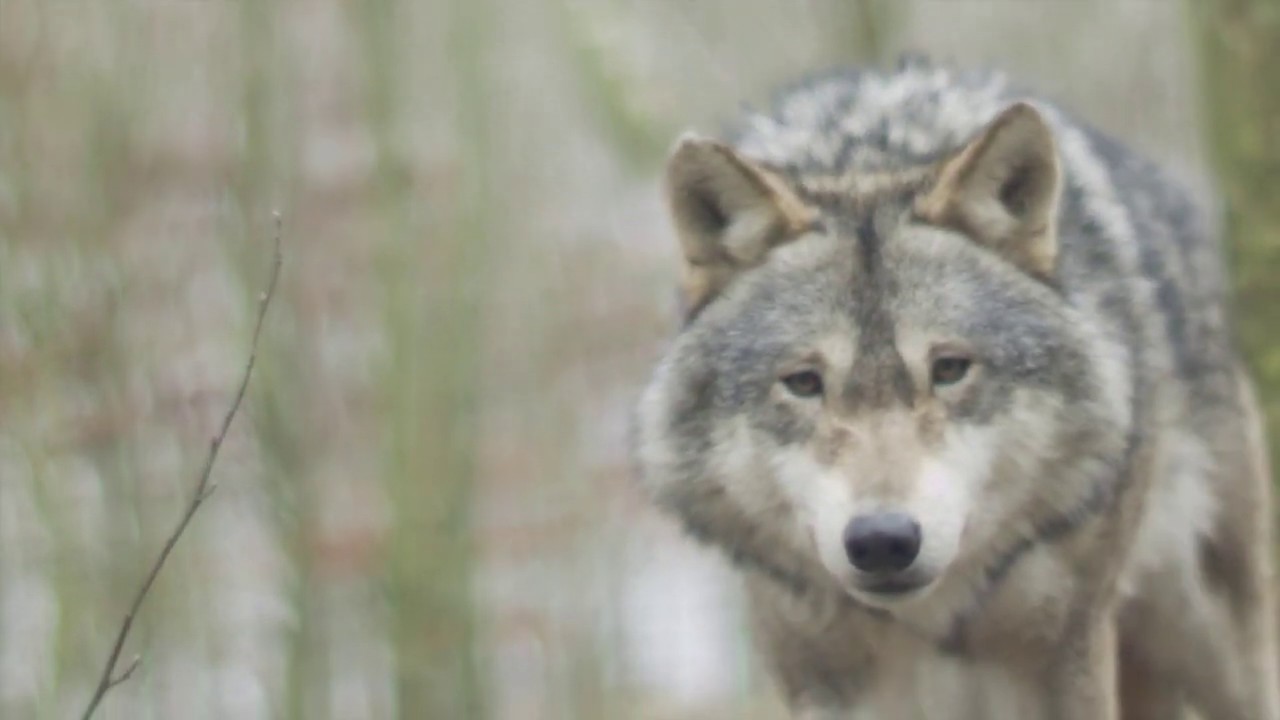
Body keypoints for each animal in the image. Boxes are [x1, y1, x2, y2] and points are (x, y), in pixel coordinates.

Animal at [631, 57, 1279, 719]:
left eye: (948, 369)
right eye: (805, 383)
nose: (883, 541)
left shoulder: (1065, 656)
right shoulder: (822, 677)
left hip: (1212, 642)